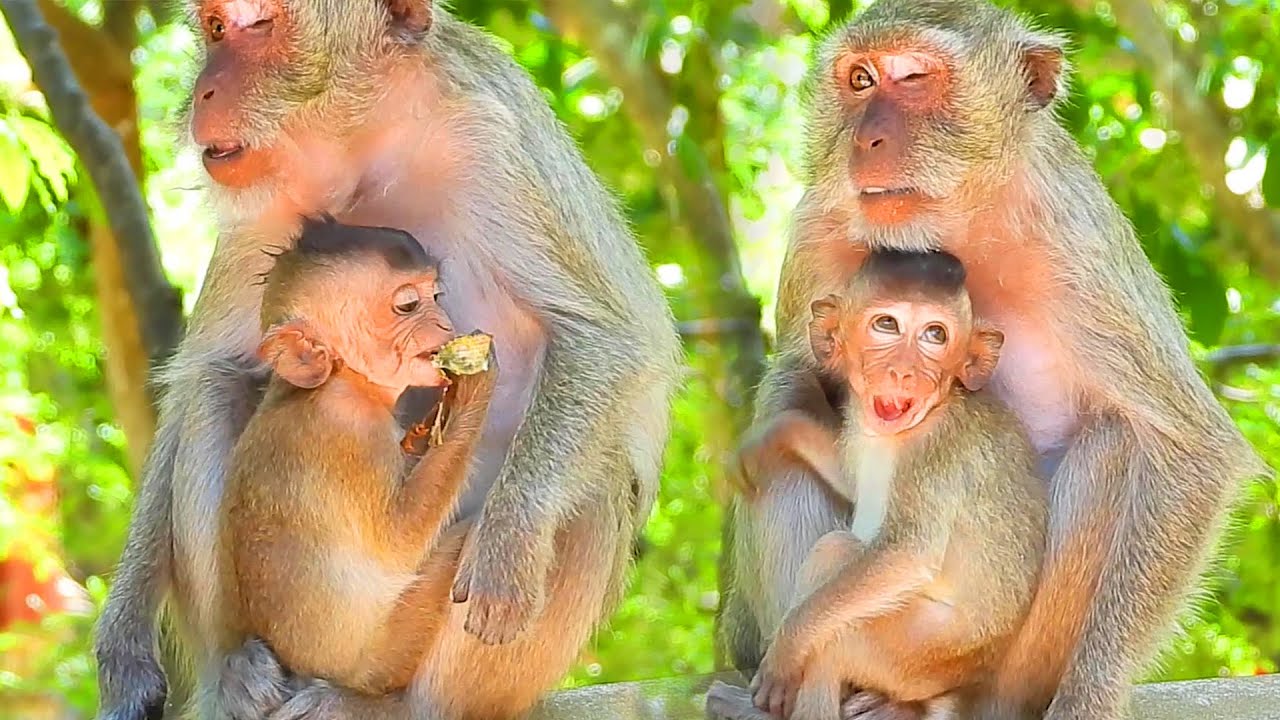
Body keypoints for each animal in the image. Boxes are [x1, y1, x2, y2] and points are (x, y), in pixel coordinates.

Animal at [216, 216, 496, 696]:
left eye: (436, 297)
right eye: (407, 305)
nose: (445, 324)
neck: (340, 379)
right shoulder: (351, 426)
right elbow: (397, 542)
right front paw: (470, 384)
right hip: (384, 656)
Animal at [707, 250, 1047, 720]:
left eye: (936, 335)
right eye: (886, 325)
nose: (904, 373)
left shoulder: (935, 453)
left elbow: (907, 551)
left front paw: (788, 645)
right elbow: (850, 482)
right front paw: (779, 433)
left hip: (919, 650)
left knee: (836, 596)